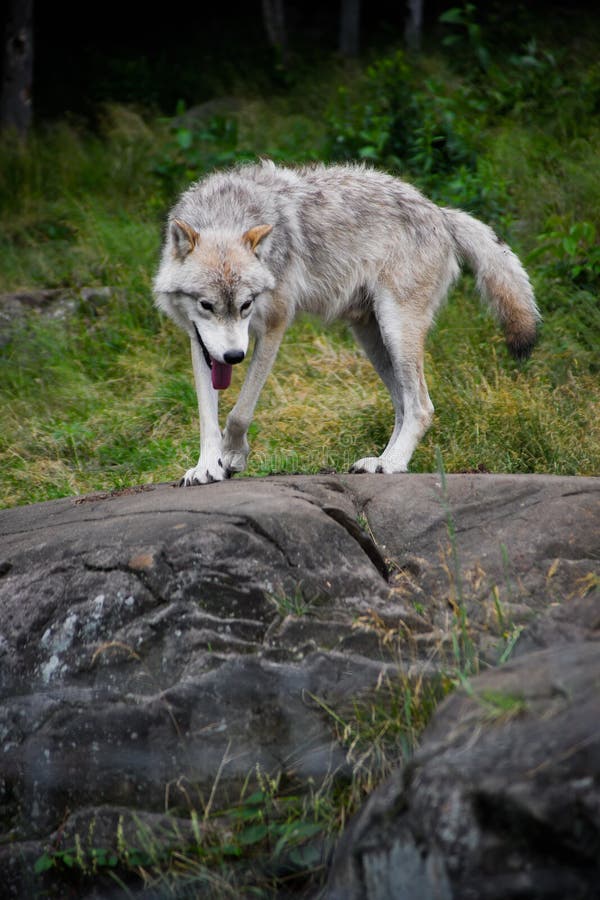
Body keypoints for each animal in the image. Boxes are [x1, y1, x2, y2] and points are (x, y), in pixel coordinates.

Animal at [153, 161, 540, 485]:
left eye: (246, 305)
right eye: (206, 305)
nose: (234, 357)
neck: (227, 213)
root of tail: (440, 212)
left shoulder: (275, 326)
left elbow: (239, 413)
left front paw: (233, 456)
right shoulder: (200, 342)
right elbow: (208, 416)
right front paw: (207, 466)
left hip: (396, 331)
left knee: (421, 406)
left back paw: (392, 463)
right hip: (372, 338)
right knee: (402, 405)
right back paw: (381, 460)